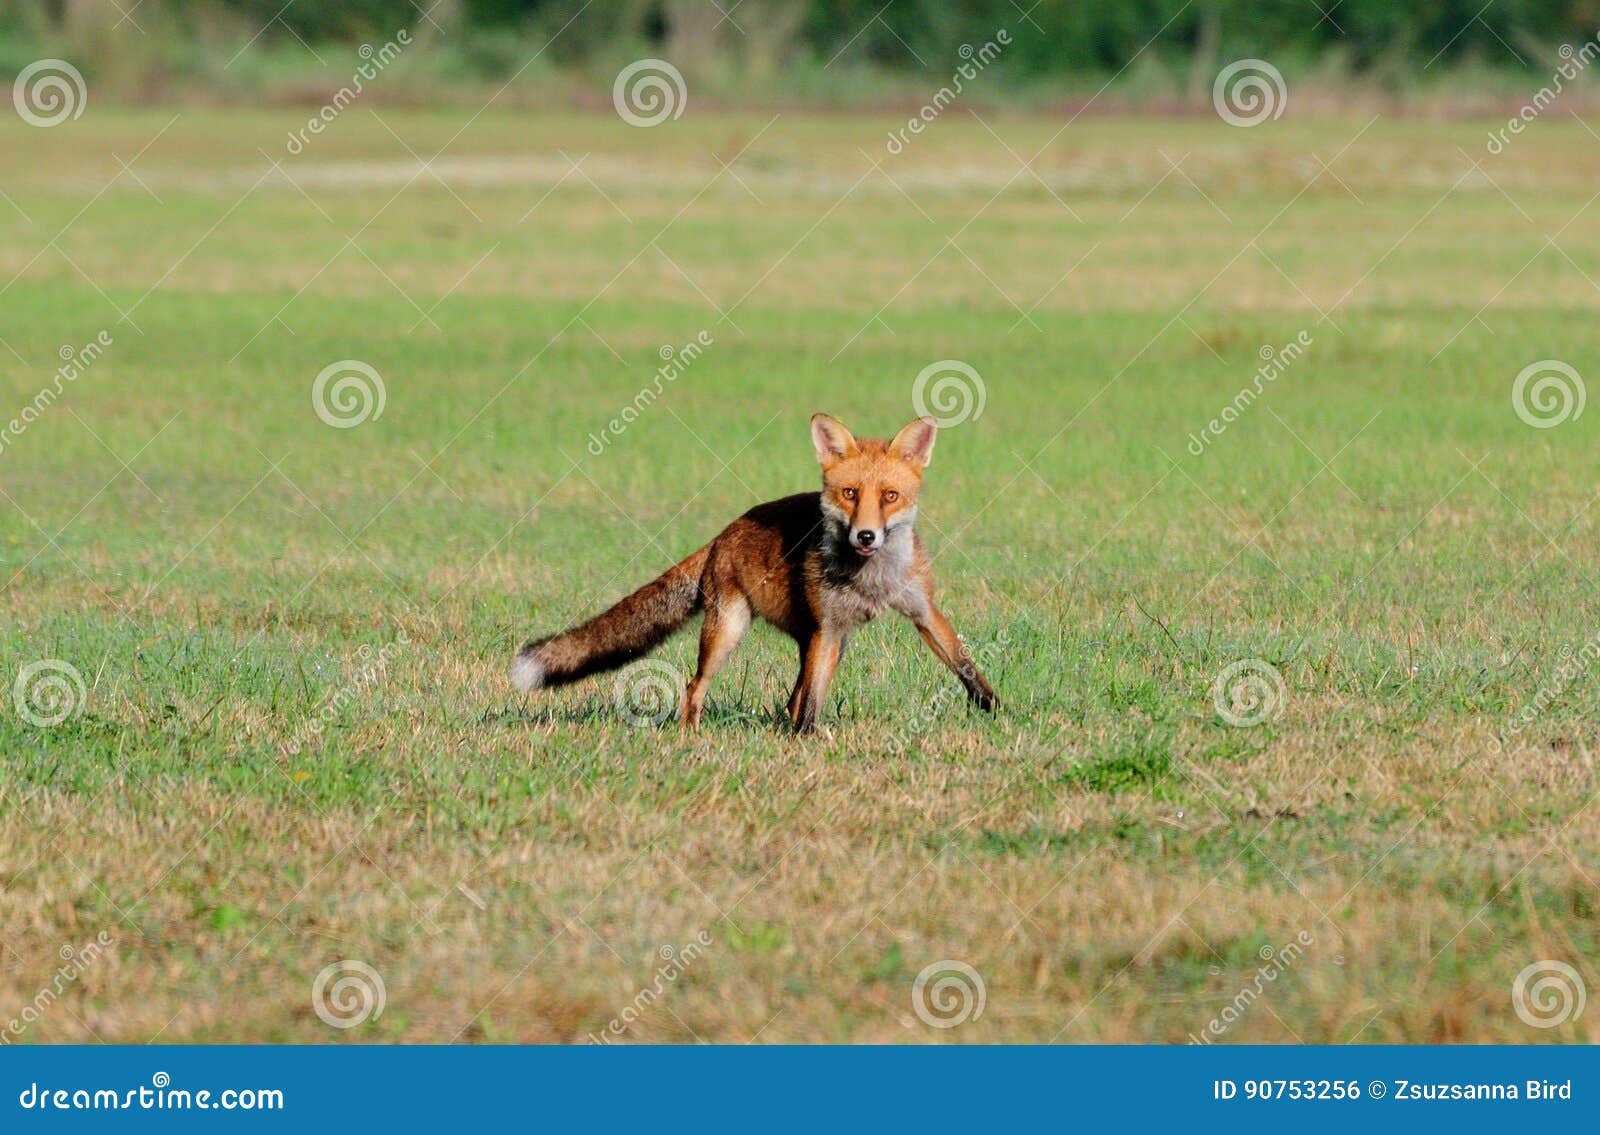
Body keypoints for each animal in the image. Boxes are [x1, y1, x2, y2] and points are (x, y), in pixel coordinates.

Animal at [511, 413, 999, 733]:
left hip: (825, 641)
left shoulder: (919, 610)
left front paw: (993, 708)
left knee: (790, 698)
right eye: (850, 493)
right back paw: (691, 738)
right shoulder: (827, 626)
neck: (871, 579)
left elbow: (962, 661)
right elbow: (813, 702)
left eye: (890, 496)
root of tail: (725, 532)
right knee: (695, 687)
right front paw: (808, 742)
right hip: (731, 630)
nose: (865, 535)